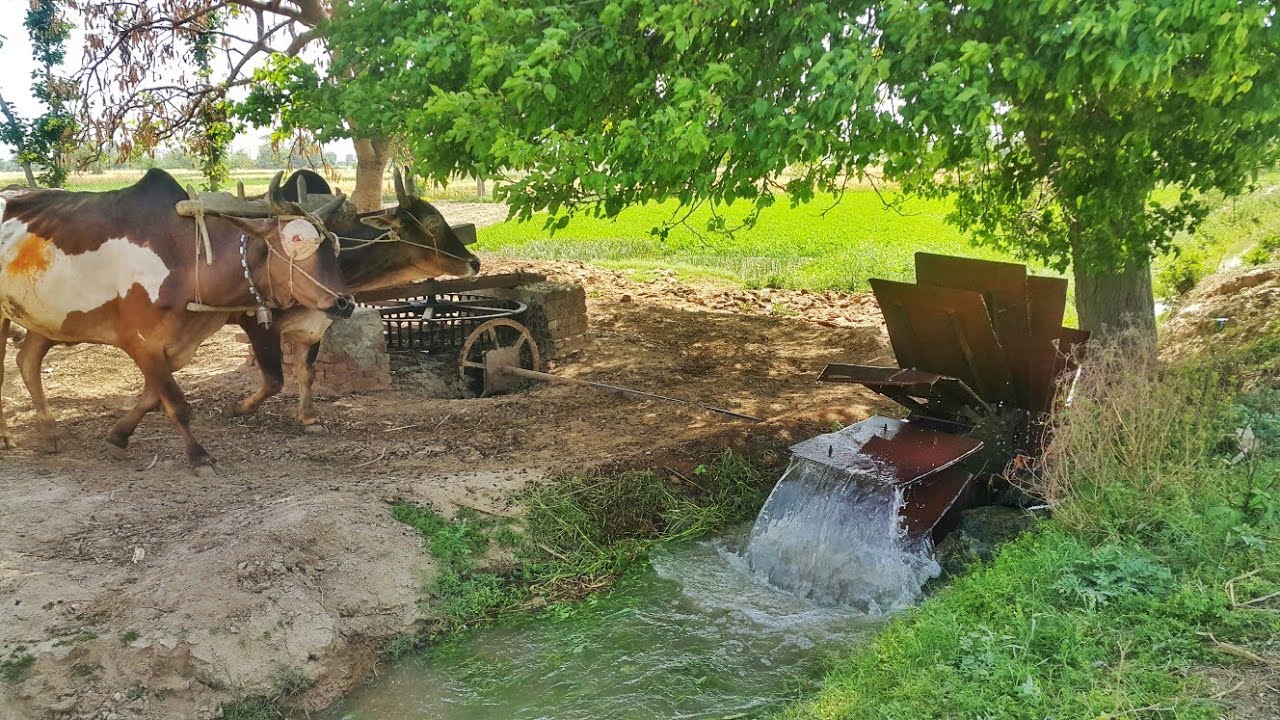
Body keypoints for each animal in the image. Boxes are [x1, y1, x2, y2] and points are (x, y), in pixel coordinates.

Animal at [0, 169, 354, 474]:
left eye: (333, 243)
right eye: (296, 240)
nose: (344, 303)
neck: (185, 259)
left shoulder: (176, 344)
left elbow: (152, 396)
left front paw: (118, 436)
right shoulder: (141, 342)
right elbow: (176, 403)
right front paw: (199, 456)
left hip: (46, 317)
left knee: (27, 359)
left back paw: (49, 432)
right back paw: (8, 436)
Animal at [230, 166, 481, 430]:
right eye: (432, 223)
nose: (474, 262)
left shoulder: (314, 327)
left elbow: (306, 372)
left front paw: (309, 417)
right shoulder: (258, 325)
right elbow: (274, 381)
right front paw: (240, 407)